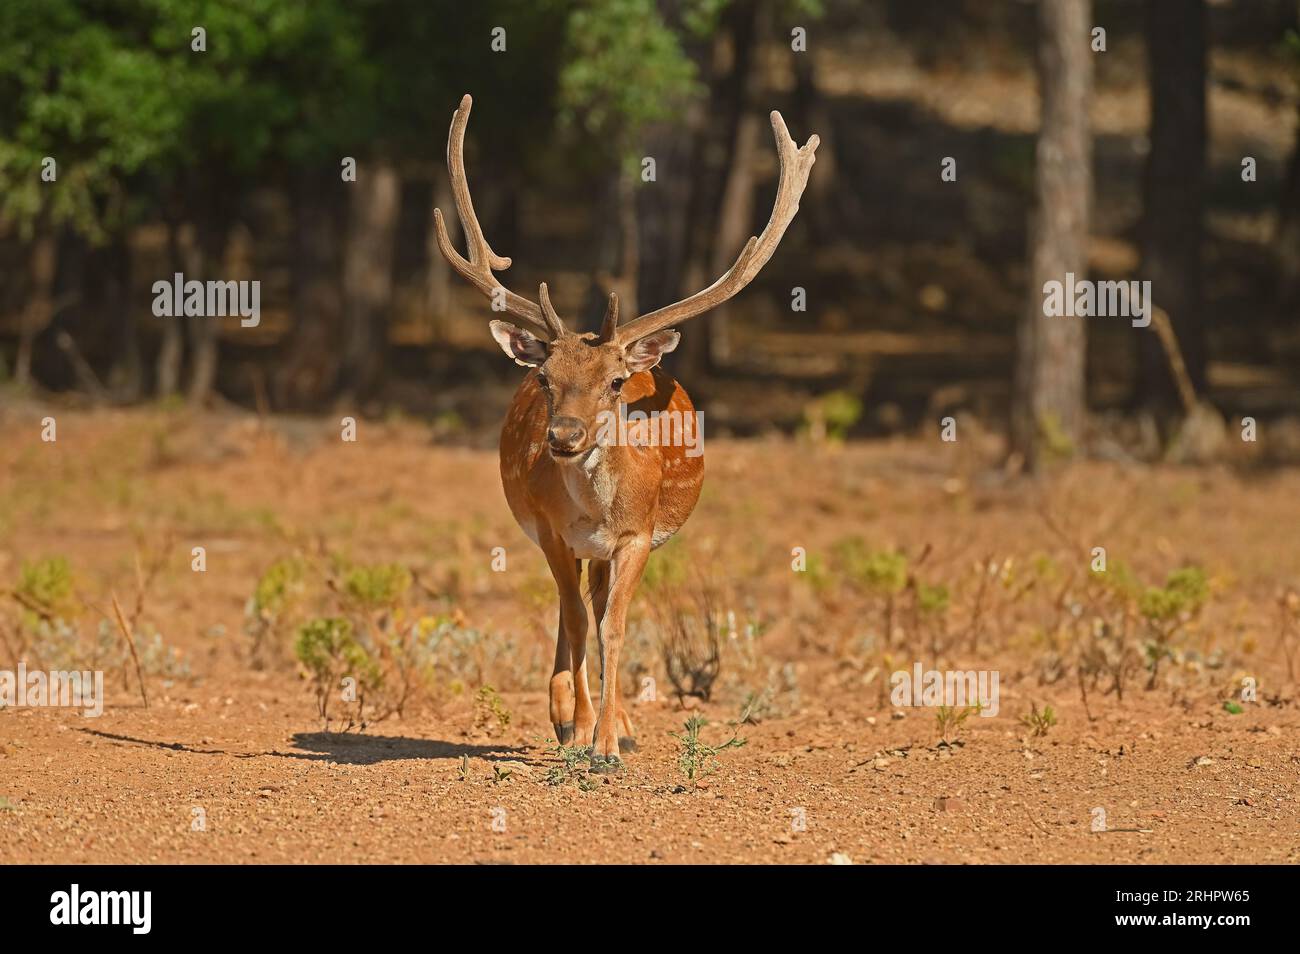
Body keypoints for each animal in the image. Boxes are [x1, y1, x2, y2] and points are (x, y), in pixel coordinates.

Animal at [433, 94, 818, 773]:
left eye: (616, 382)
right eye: (545, 378)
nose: (562, 435)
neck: (595, 507)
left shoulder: (637, 534)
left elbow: (613, 624)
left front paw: (610, 744)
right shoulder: (553, 530)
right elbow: (577, 620)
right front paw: (580, 727)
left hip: (614, 546)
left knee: (596, 603)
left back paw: (617, 723)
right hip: (555, 537)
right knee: (572, 605)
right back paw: (566, 715)